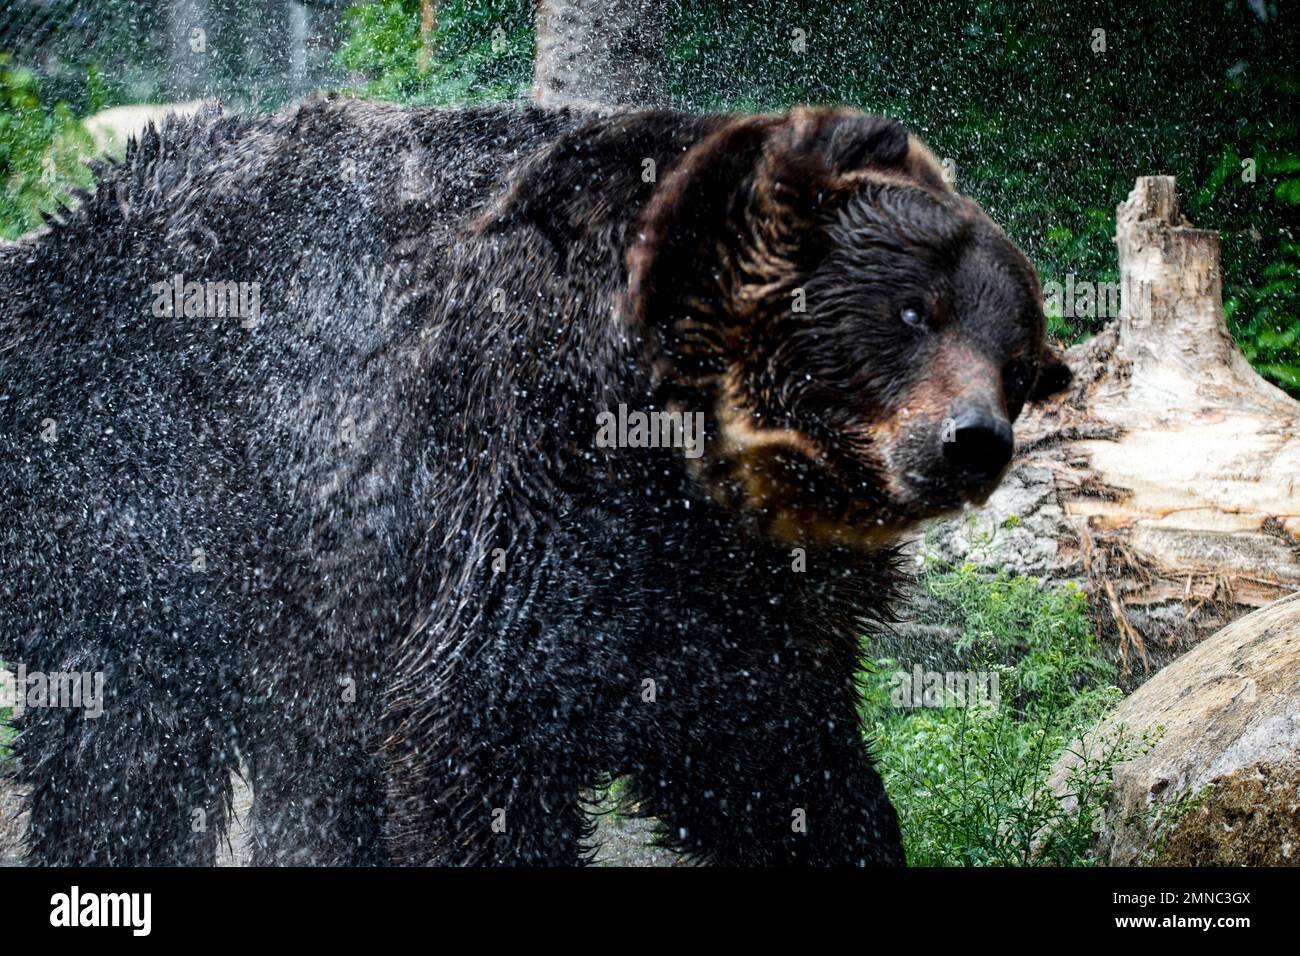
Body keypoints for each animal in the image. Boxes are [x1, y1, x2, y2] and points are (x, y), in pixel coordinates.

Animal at [0, 95, 1068, 866]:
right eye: (913, 313)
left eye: (1016, 357)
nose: (971, 442)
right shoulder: (534, 497)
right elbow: (476, 733)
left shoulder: (747, 613)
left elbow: (781, 767)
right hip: (156, 509)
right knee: (123, 749)